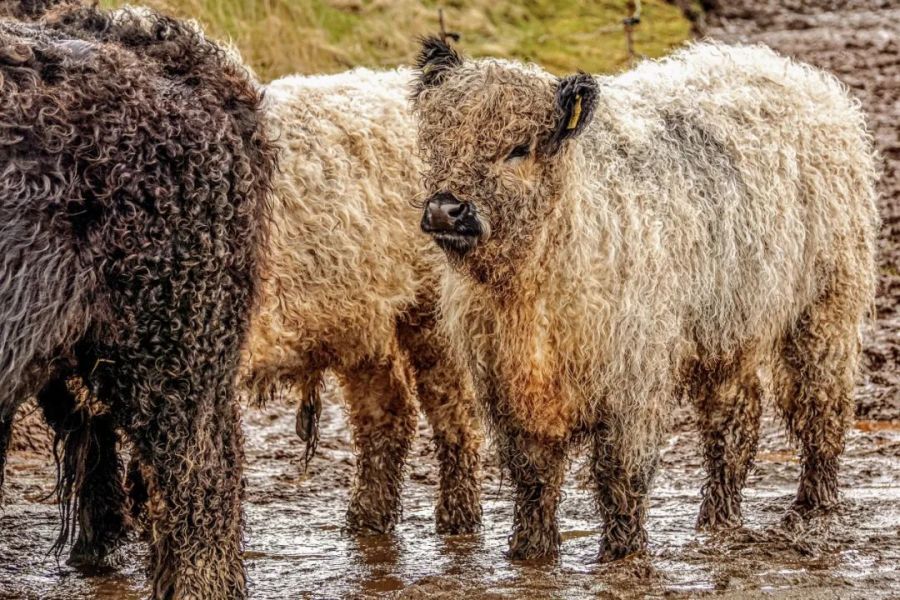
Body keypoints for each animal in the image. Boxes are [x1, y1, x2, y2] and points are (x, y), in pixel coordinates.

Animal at [242, 67, 483, 535]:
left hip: (431, 311)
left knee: (454, 410)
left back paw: (458, 519)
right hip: (363, 319)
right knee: (387, 413)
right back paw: (368, 518)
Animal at [412, 38, 878, 561]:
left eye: (518, 149)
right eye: (437, 142)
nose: (445, 209)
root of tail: (785, 69)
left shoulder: (633, 375)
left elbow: (620, 472)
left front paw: (622, 552)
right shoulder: (509, 385)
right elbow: (534, 477)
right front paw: (530, 553)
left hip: (825, 310)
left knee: (821, 406)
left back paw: (814, 506)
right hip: (729, 328)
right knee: (733, 419)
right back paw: (718, 519)